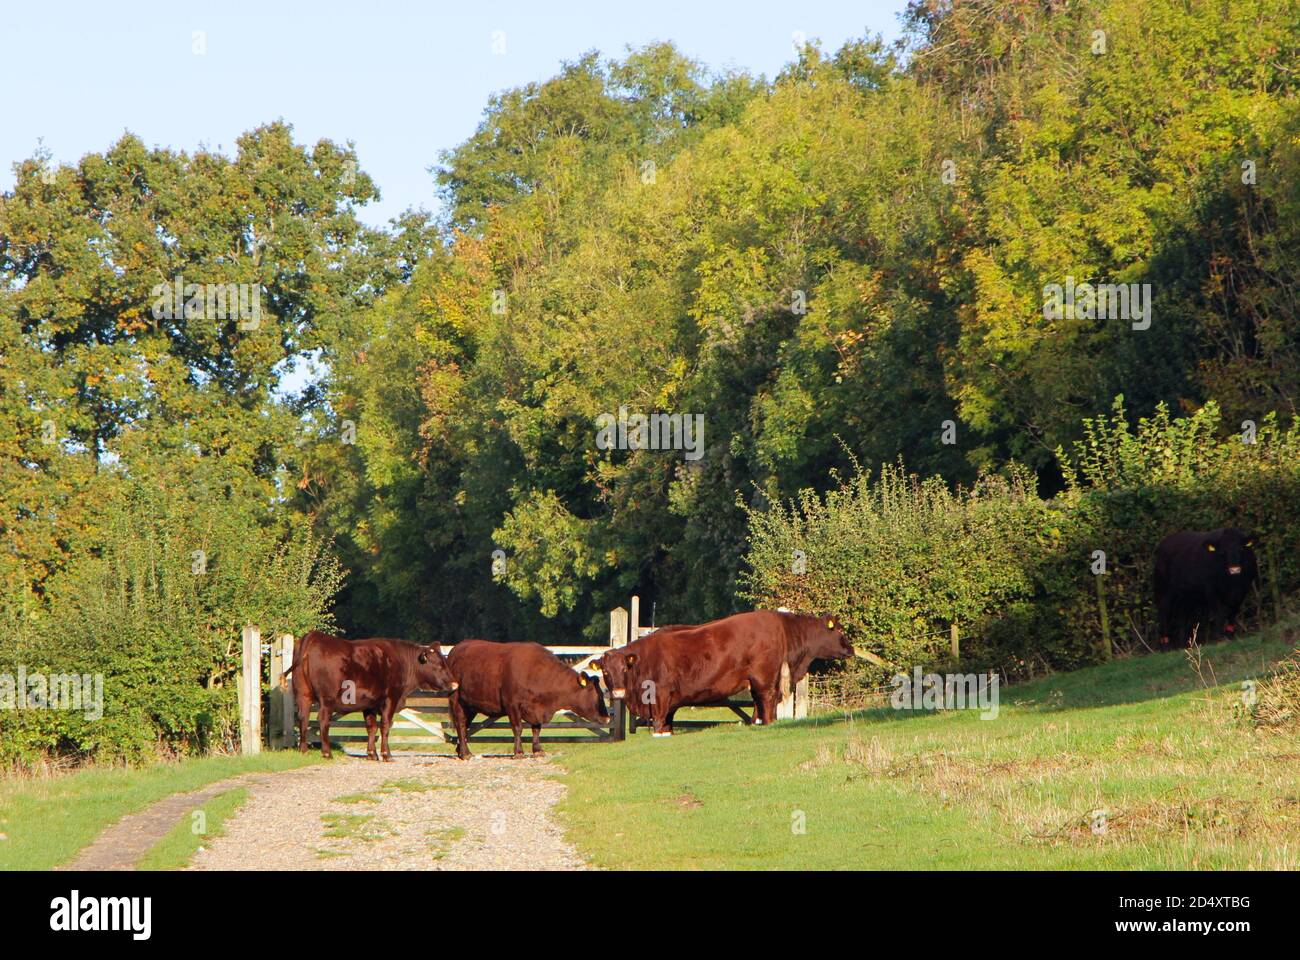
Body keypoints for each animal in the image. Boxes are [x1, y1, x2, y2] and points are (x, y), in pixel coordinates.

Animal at [286, 630, 458, 760]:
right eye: (439, 665)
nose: (455, 684)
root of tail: (314, 636)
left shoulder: (369, 703)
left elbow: (371, 727)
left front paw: (371, 753)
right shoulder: (391, 698)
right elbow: (385, 726)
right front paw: (386, 754)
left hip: (303, 695)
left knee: (303, 718)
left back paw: (303, 750)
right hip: (326, 699)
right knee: (322, 720)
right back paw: (327, 752)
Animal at [447, 639, 608, 758]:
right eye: (597, 694)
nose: (607, 718)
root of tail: (457, 648)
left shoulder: (537, 709)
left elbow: (536, 728)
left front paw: (538, 750)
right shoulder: (512, 704)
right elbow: (518, 728)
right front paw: (518, 752)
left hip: (469, 705)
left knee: (465, 725)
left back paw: (461, 750)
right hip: (457, 700)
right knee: (460, 723)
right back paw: (465, 753)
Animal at [591, 611, 853, 736]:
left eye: (624, 668)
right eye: (605, 671)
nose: (851, 649)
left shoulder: (661, 695)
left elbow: (659, 720)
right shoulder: (668, 700)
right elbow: (666, 722)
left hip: (764, 678)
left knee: (767, 700)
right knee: (761, 703)